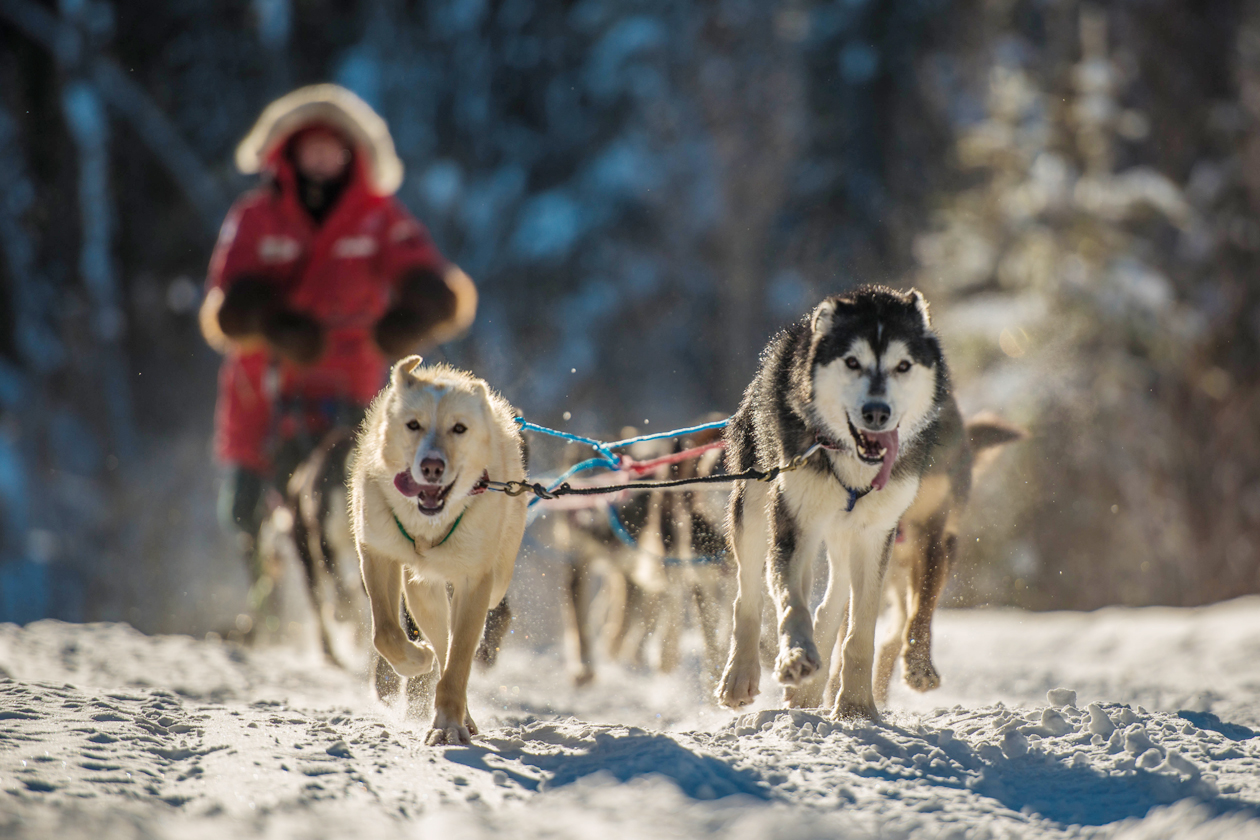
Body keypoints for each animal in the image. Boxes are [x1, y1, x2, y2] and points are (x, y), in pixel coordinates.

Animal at [349, 356, 527, 745]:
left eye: (459, 428)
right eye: (413, 424)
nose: (432, 466)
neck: (427, 527)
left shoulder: (475, 581)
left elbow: (459, 660)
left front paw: (447, 724)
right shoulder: (378, 554)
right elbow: (386, 633)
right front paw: (418, 659)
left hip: (495, 581)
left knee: (457, 647)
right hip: (422, 593)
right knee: (439, 641)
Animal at [716, 285, 948, 721]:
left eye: (903, 365)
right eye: (852, 362)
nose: (876, 412)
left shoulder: (877, 534)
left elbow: (860, 629)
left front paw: (856, 706)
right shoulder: (794, 522)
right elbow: (791, 601)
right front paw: (795, 655)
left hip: (848, 530)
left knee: (836, 593)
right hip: (753, 508)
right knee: (747, 595)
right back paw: (742, 675)